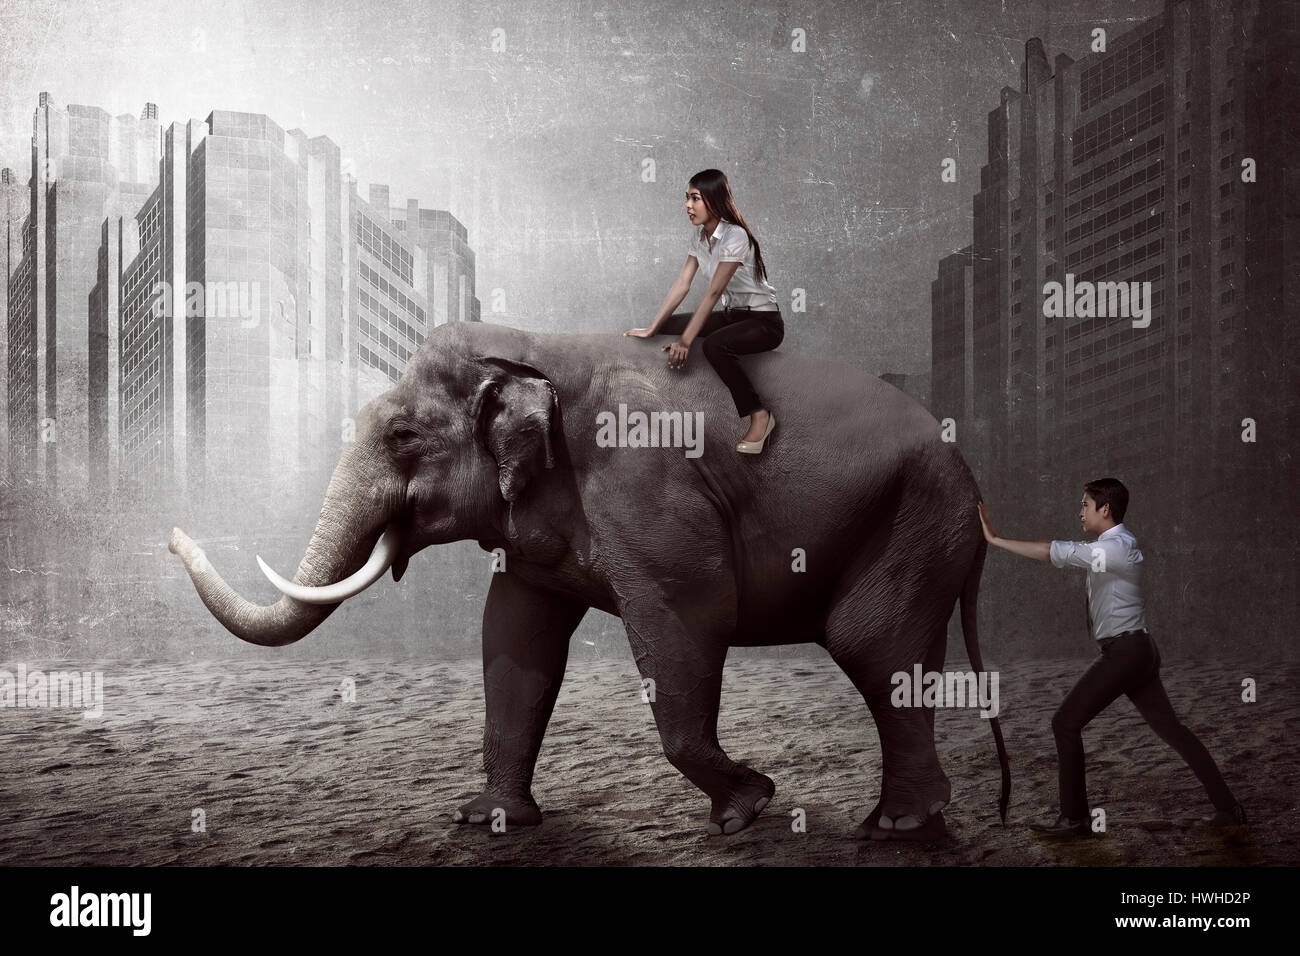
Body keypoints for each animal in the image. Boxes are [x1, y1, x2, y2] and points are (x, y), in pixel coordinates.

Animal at [169, 320, 1010, 839]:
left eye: (403, 436)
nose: (174, 536)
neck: (531, 344)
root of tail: (975, 483)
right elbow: (515, 639)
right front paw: (488, 821)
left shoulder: (647, 488)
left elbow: (688, 618)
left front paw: (746, 809)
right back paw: (902, 821)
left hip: (916, 512)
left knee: (865, 640)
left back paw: (899, 828)